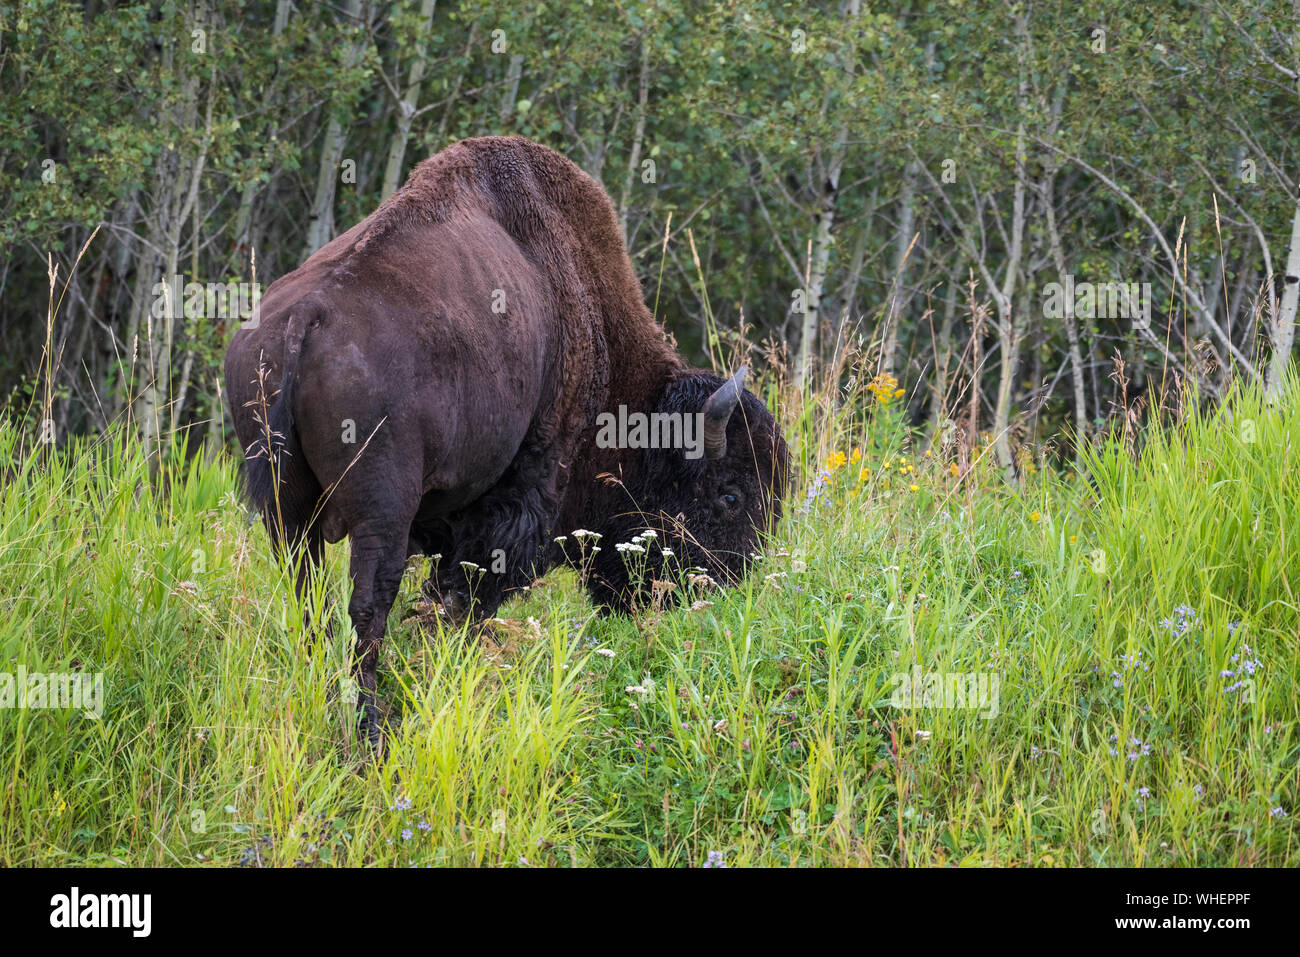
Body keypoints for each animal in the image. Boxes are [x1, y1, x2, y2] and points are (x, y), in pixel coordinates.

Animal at [225, 135, 790, 744]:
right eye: (730, 494)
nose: (725, 598)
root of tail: (305, 317)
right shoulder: (522, 493)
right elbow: (471, 590)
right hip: (382, 509)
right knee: (368, 605)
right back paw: (372, 728)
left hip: (285, 508)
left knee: (307, 600)